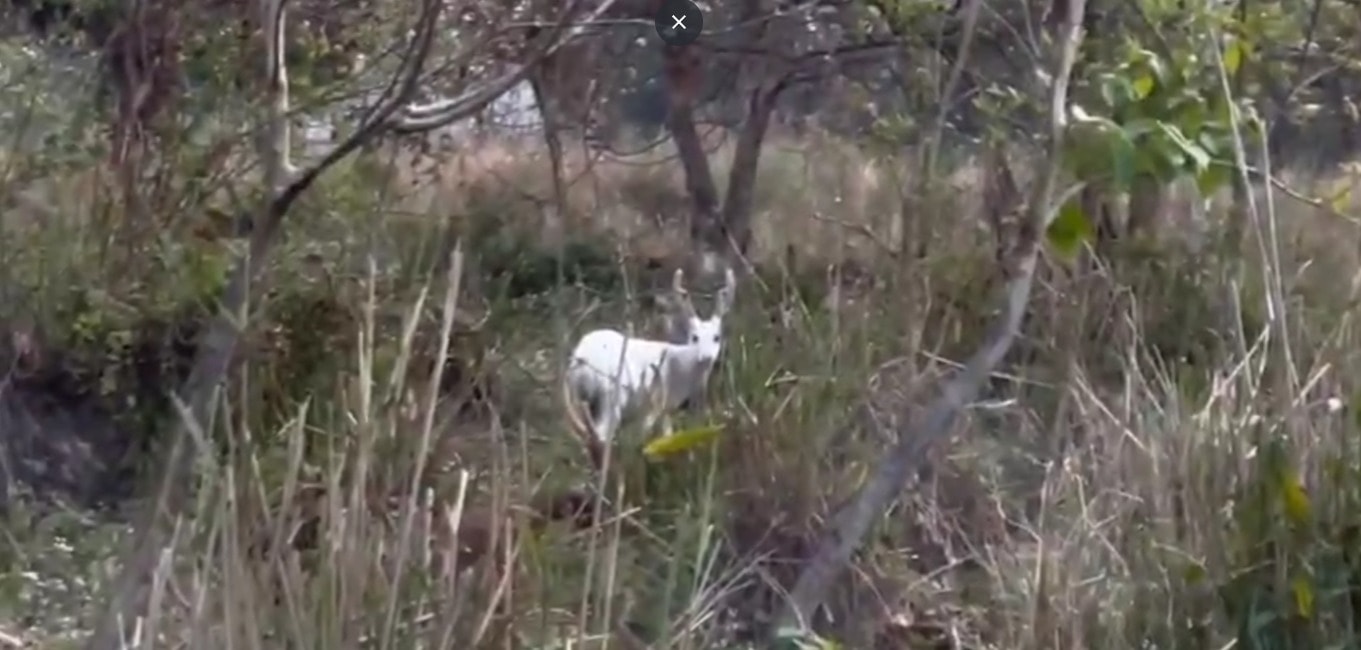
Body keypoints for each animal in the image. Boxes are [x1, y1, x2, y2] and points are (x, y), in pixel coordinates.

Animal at [562, 266, 737, 467]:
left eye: (717, 337)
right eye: (695, 337)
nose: (707, 357)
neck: (681, 367)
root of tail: (581, 362)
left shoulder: (665, 409)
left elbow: (669, 436)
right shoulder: (653, 403)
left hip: (576, 398)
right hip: (611, 397)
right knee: (601, 435)